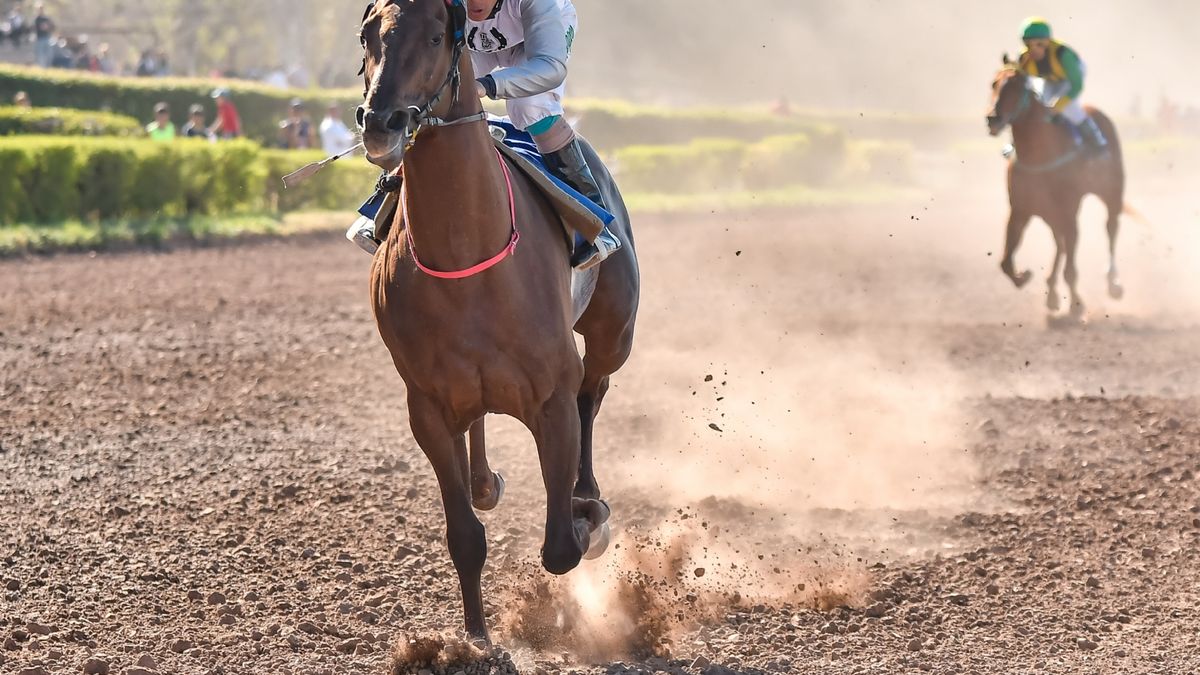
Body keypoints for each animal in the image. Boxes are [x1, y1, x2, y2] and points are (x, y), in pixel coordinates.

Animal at [355, 0, 640, 644]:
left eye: (437, 36)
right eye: (367, 37)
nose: (381, 122)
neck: (466, 248)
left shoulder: (551, 395)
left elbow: (561, 547)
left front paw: (588, 517)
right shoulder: (427, 406)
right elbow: (465, 536)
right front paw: (476, 637)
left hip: (614, 333)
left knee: (594, 390)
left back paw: (587, 494)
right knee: (480, 427)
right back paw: (487, 482)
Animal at [986, 58, 1126, 318]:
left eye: (1016, 87)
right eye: (994, 84)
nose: (993, 118)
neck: (1037, 155)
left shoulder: (1069, 212)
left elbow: (1071, 268)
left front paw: (1077, 305)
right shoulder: (1019, 211)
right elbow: (1005, 262)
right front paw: (1023, 276)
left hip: (1111, 193)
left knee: (1110, 229)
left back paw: (1113, 283)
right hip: (1050, 214)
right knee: (1059, 245)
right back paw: (1051, 292)